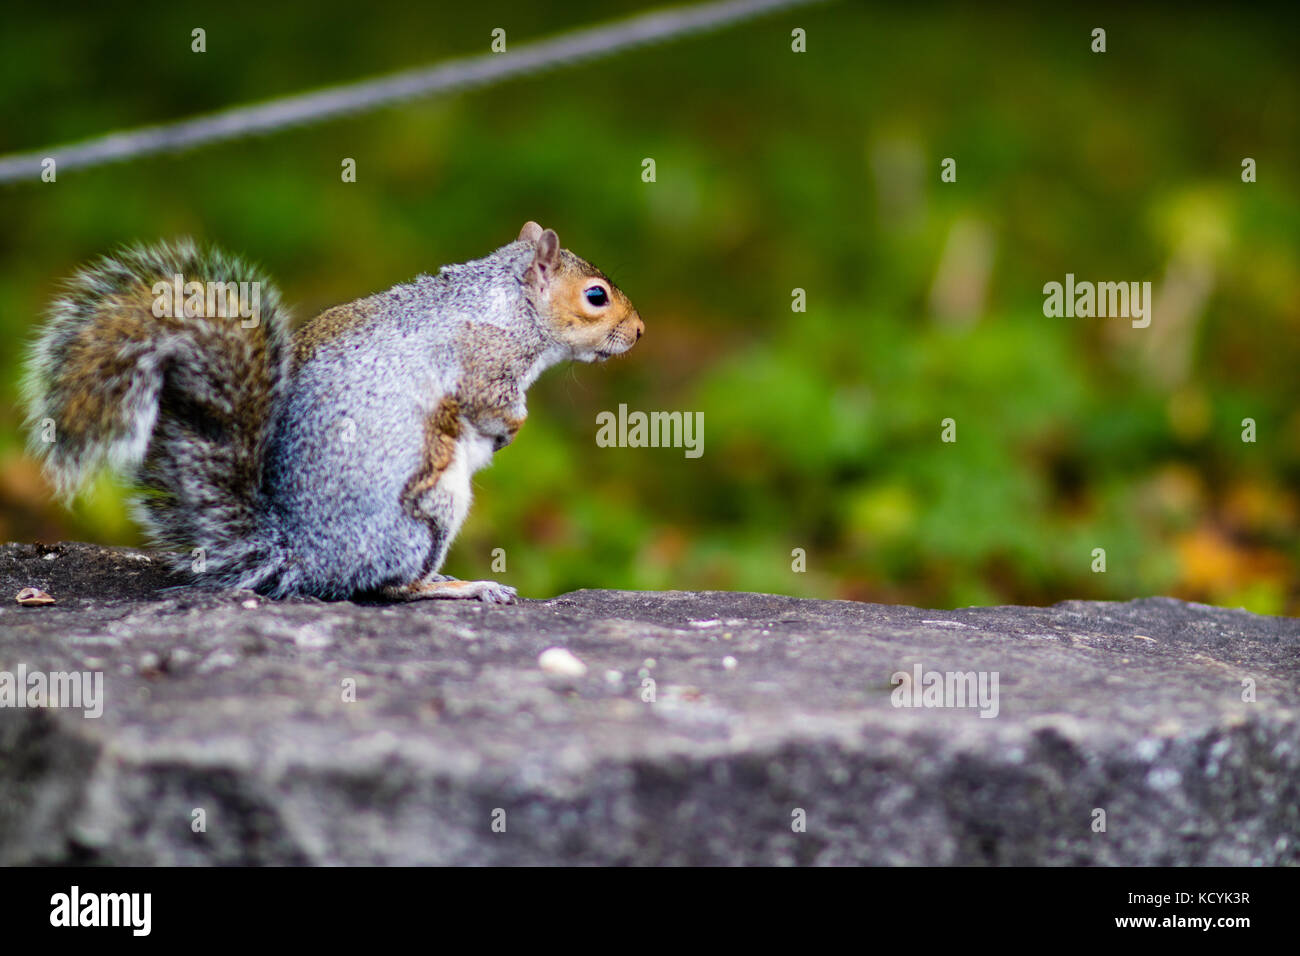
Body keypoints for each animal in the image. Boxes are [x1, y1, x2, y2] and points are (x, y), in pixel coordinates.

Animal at [22, 222, 643, 603]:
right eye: (595, 296)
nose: (638, 332)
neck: (509, 304)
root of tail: (305, 557)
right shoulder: (485, 365)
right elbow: (495, 408)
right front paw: (509, 432)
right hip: (430, 507)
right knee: (391, 587)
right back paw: (462, 587)